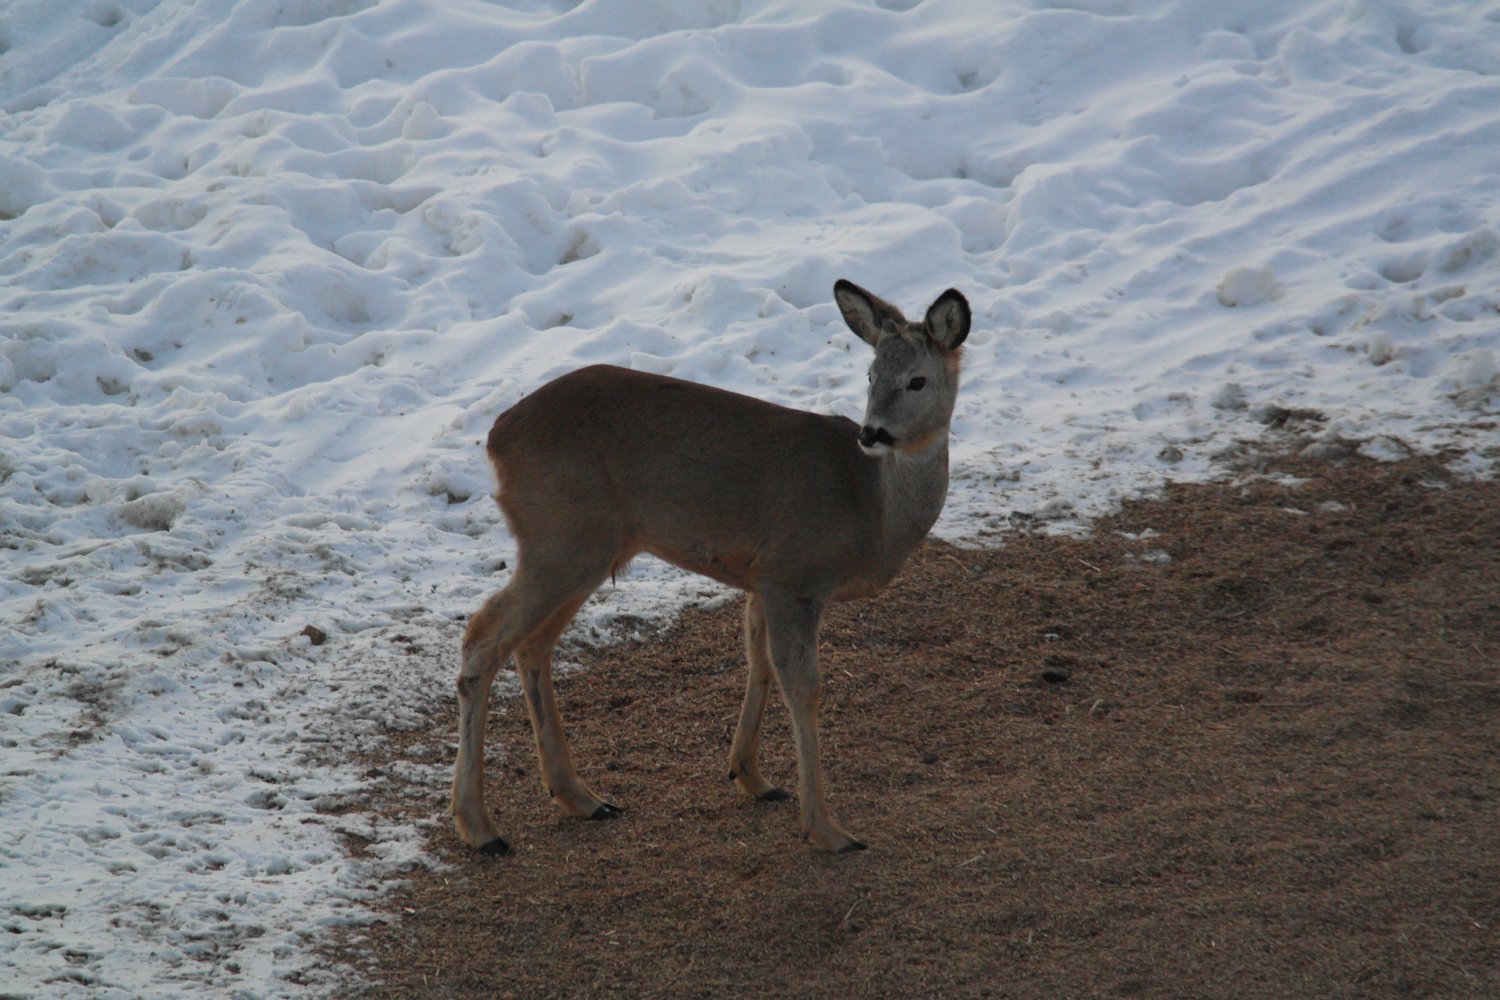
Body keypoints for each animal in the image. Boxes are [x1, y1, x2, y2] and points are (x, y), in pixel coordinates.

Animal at [450, 277, 972, 857]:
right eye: (871, 375)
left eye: (916, 380)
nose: (871, 433)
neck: (873, 510)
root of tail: (497, 438)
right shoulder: (794, 572)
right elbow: (803, 685)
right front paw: (826, 829)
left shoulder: (761, 578)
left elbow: (758, 662)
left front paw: (752, 776)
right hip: (561, 539)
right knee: (483, 635)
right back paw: (481, 827)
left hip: (585, 548)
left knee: (531, 645)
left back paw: (582, 798)